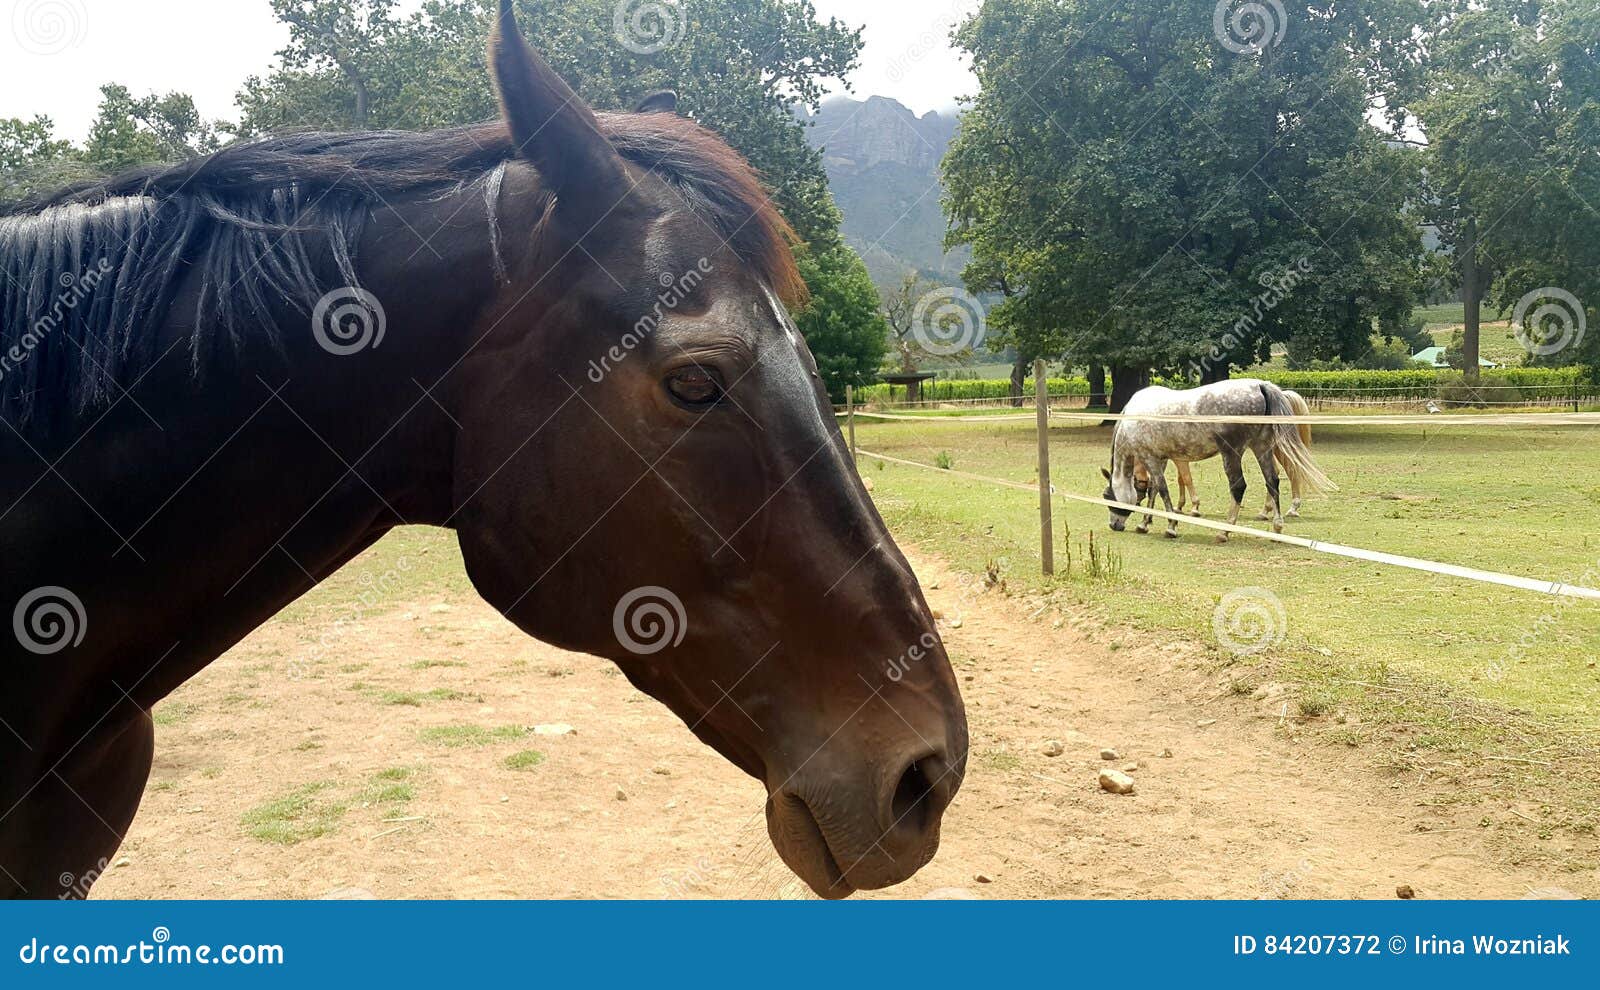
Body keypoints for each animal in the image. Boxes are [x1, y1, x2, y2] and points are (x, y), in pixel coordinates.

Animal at [1133, 389, 1317, 519]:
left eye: (1134, 482)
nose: (1135, 503)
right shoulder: (1177, 457)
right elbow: (1180, 480)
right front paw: (1180, 506)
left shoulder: (1179, 459)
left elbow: (1186, 478)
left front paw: (1194, 507)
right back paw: (1266, 511)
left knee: (1292, 470)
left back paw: (1291, 508)